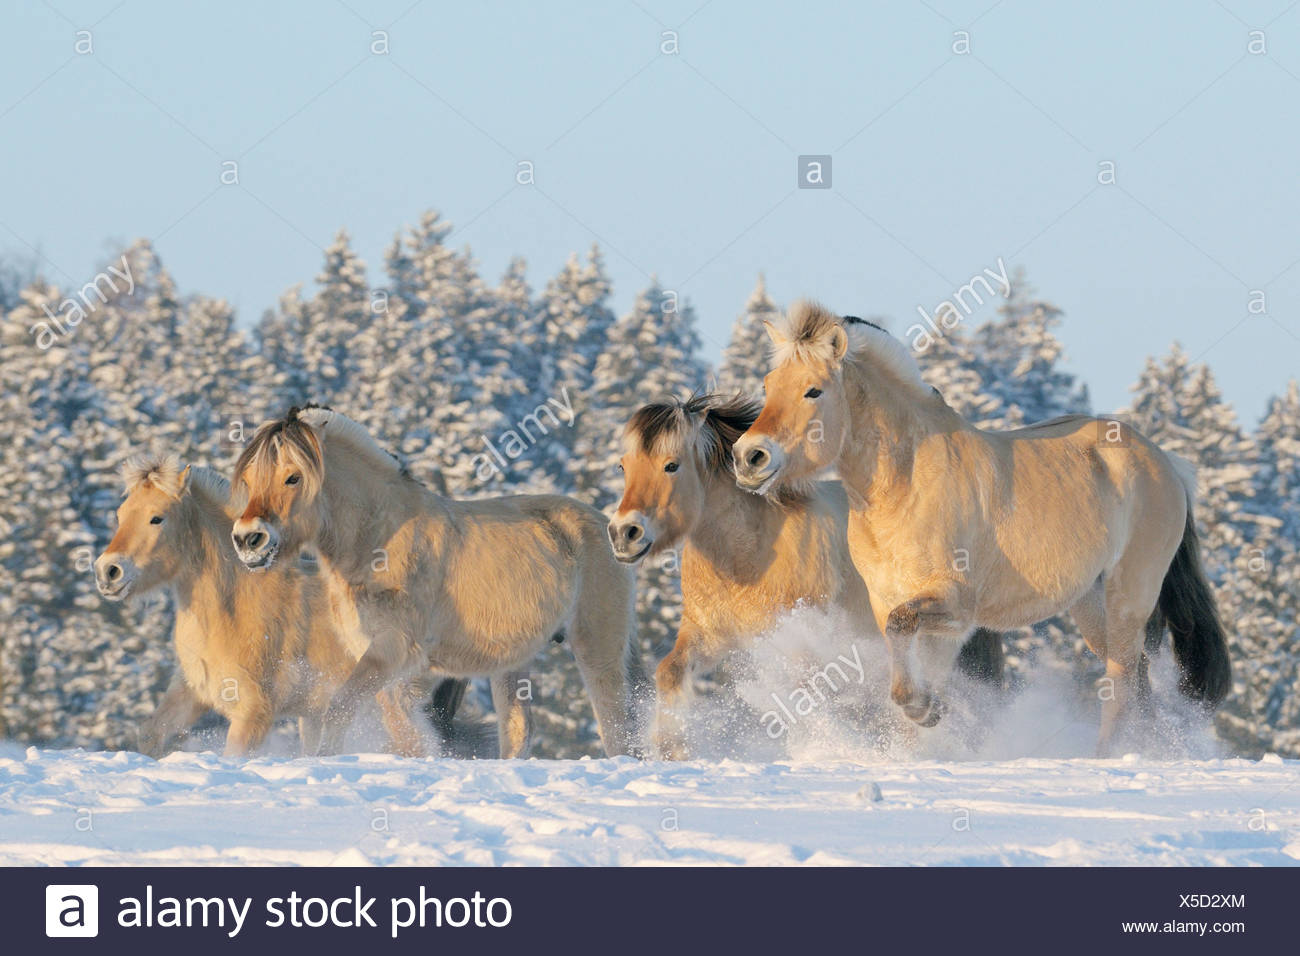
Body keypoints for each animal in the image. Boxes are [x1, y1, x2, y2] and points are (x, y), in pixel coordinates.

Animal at [93, 455, 450, 757]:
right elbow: (150, 734)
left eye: (157, 518)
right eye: (121, 516)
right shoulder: (193, 693)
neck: (234, 608)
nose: (108, 571)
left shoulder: (253, 713)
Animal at [228, 405, 647, 759]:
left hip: (598, 651)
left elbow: (344, 712)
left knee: (615, 728)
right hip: (512, 664)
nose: (249, 539)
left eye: (293, 477)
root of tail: (607, 527)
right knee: (518, 732)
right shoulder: (381, 660)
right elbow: (402, 732)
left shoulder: (393, 651)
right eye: (248, 479)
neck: (379, 538)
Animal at [608, 392, 1005, 758]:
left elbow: (799, 695)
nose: (624, 533)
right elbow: (670, 671)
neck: (749, 558)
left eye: (671, 465)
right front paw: (672, 749)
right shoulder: (710, 635)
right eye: (624, 467)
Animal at [731, 302, 1231, 755]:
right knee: (1136, 671)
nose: (749, 457)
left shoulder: (954, 607)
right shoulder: (889, 602)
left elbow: (901, 633)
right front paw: (917, 738)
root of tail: (1165, 464)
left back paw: (1109, 755)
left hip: (1130, 594)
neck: (906, 486)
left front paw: (926, 711)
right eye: (768, 385)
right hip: (1090, 602)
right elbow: (906, 664)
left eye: (813, 391)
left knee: (1122, 677)